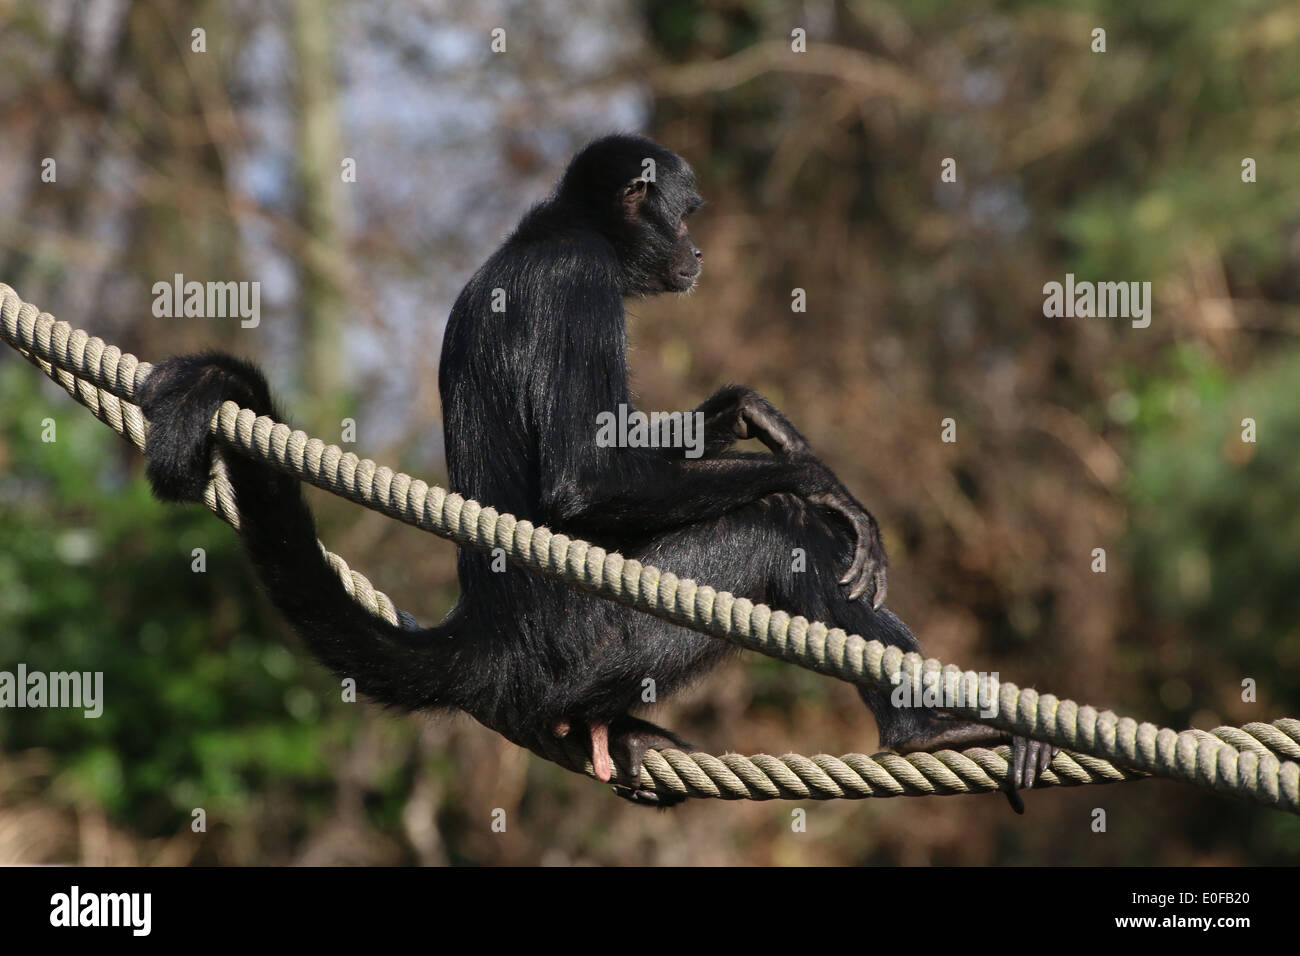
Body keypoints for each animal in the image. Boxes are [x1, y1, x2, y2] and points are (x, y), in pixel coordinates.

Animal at [139, 134, 1055, 806]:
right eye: (686, 216)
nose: (697, 249)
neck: (553, 229)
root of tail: (493, 641)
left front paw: (741, 415)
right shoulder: (581, 282)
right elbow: (589, 483)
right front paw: (817, 483)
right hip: (595, 644)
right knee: (771, 532)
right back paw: (921, 731)